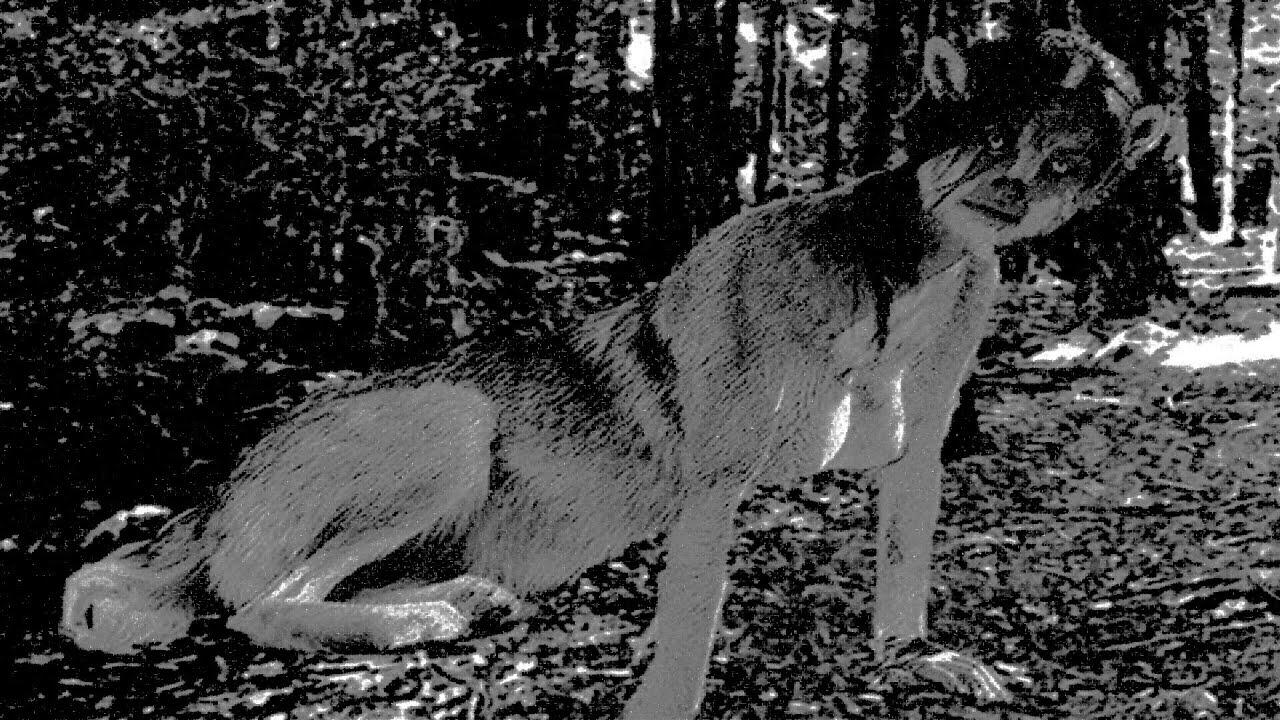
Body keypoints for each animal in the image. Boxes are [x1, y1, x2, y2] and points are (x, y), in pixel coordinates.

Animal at [63, 30, 1165, 720]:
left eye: (1061, 160)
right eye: (990, 134)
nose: (1008, 193)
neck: (906, 278)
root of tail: (209, 495)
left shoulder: (916, 459)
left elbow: (900, 586)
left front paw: (922, 662)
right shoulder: (717, 482)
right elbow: (689, 624)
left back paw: (465, 599)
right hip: (452, 419)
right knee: (259, 604)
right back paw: (431, 614)